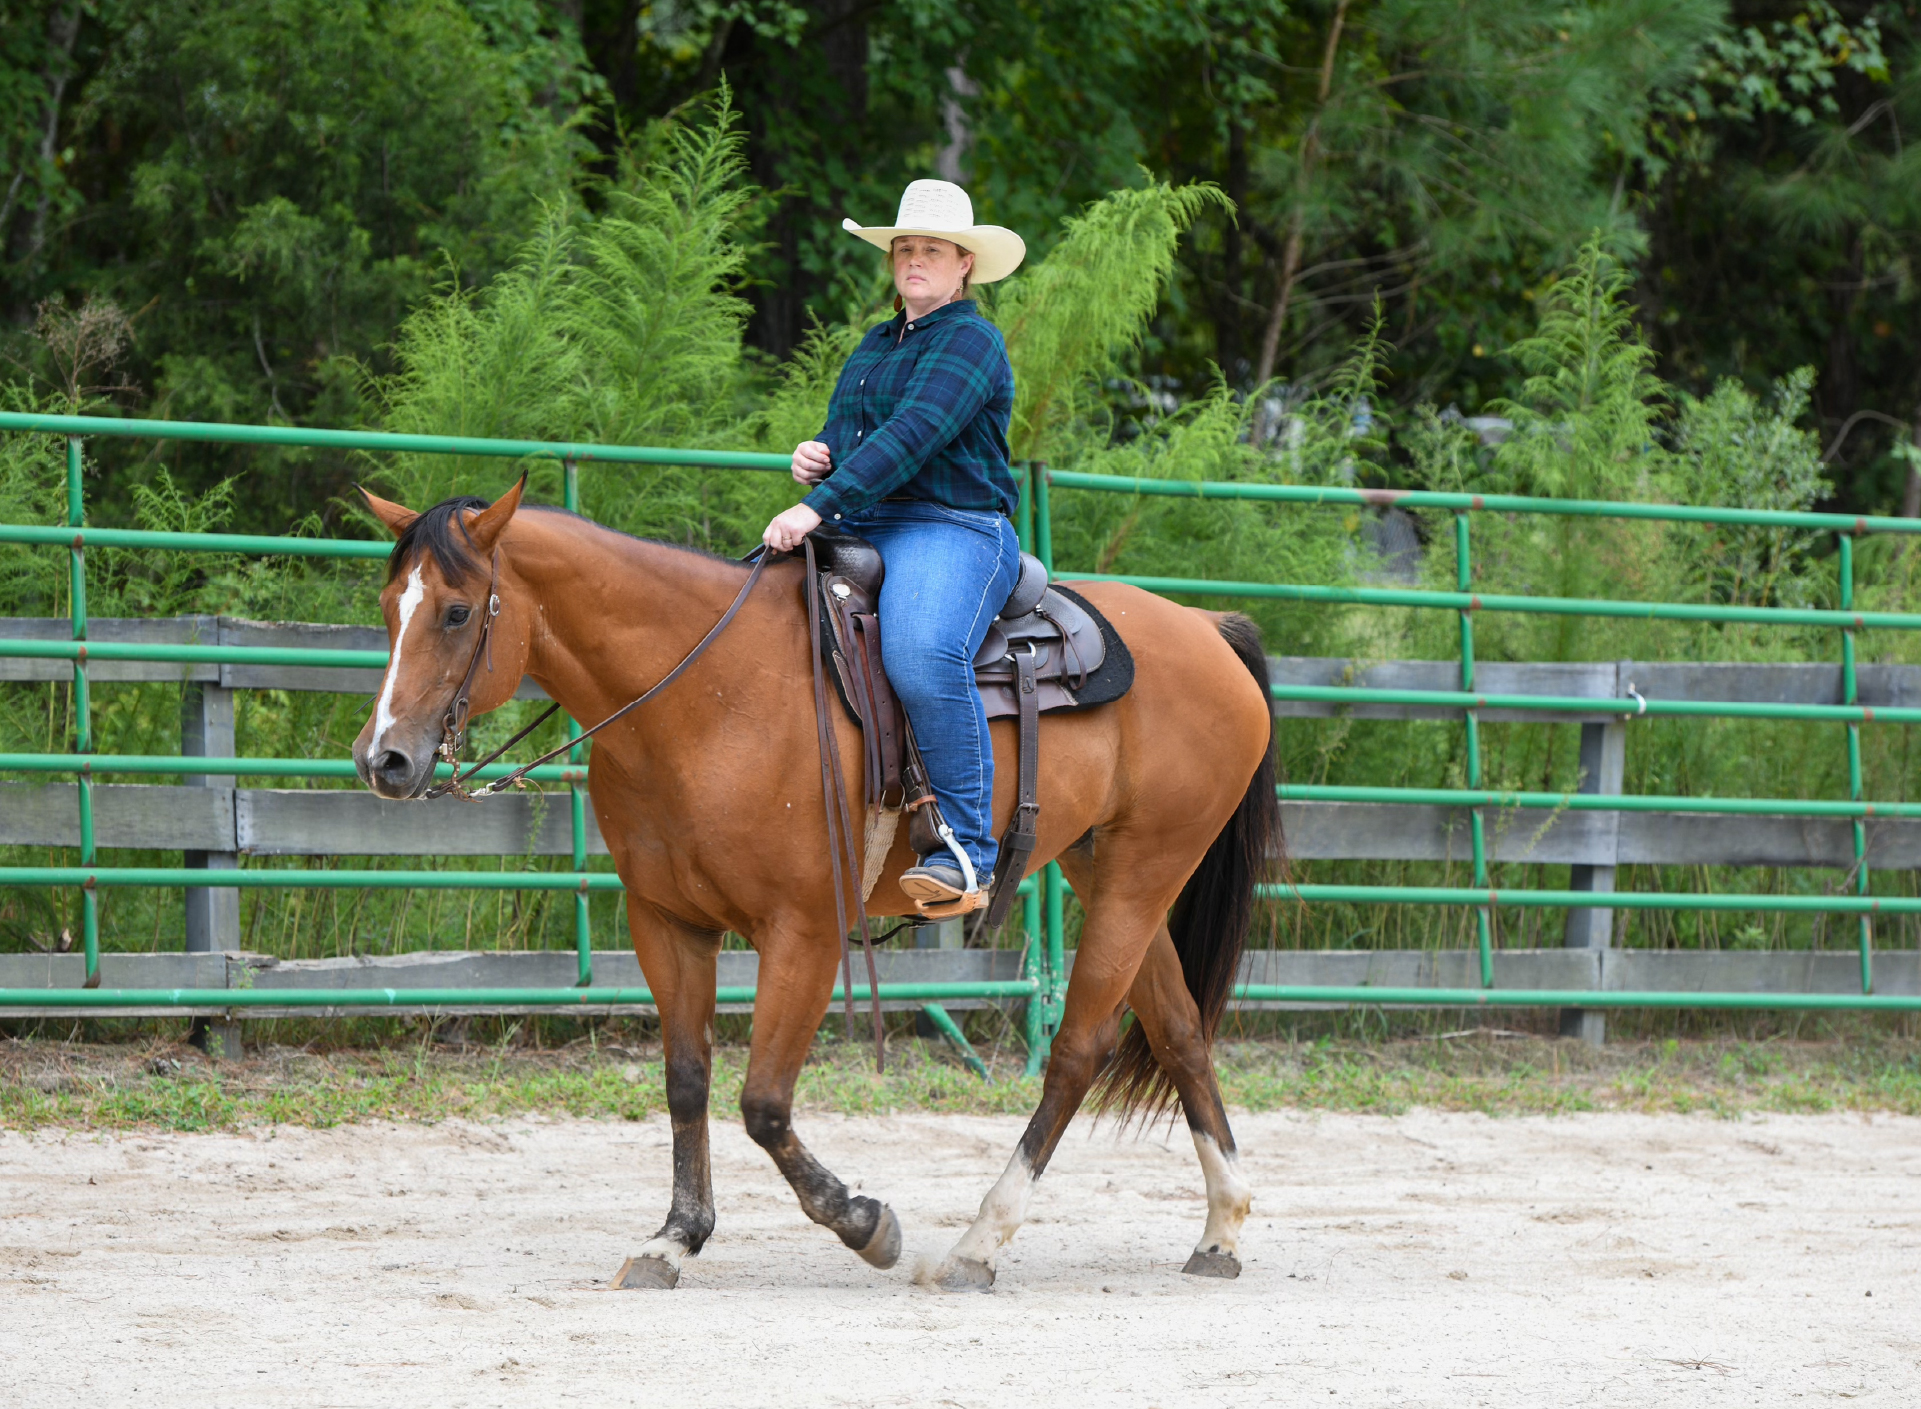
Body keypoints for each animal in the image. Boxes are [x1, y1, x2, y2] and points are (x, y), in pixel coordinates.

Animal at [351, 477, 1277, 1292]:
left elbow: (762, 1100)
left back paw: (977, 1244)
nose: (382, 759)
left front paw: (864, 1223)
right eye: (390, 604)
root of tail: (1203, 625)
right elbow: (686, 1079)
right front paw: (673, 1237)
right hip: (1107, 866)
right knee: (1180, 1030)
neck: (704, 693)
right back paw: (1221, 1228)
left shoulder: (804, 929)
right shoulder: (666, 922)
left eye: (457, 610)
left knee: (1079, 1049)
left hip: (1143, 869)